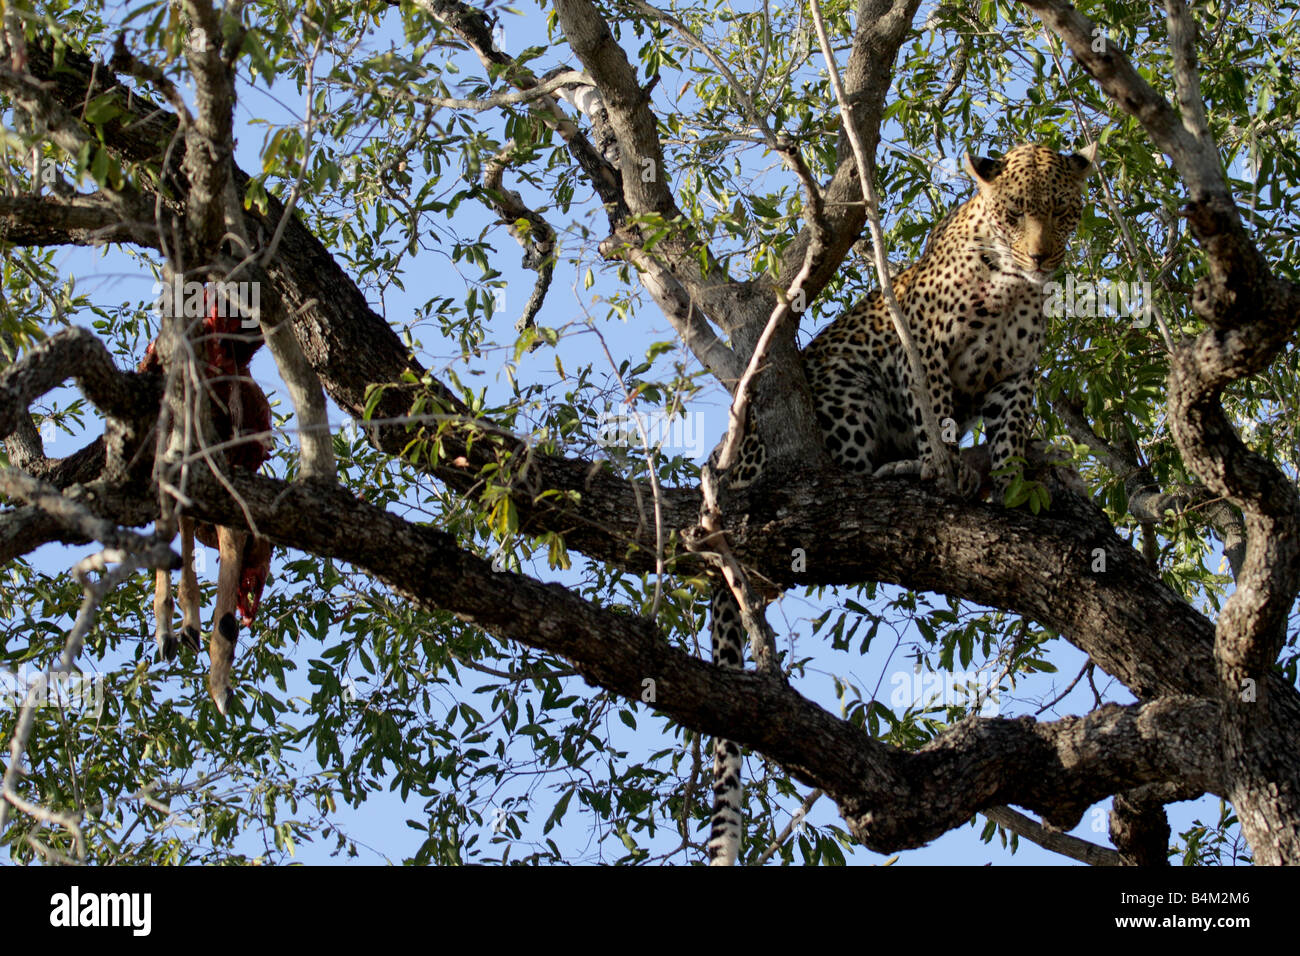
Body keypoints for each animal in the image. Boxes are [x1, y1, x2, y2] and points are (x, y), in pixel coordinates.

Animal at [706, 143, 1097, 865]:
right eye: (1014, 213)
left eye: (1062, 212)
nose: (1044, 257)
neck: (1010, 287)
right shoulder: (926, 350)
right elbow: (935, 415)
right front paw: (946, 470)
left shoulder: (1016, 374)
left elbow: (1010, 431)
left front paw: (1013, 483)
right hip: (844, 398)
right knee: (846, 474)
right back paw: (906, 471)